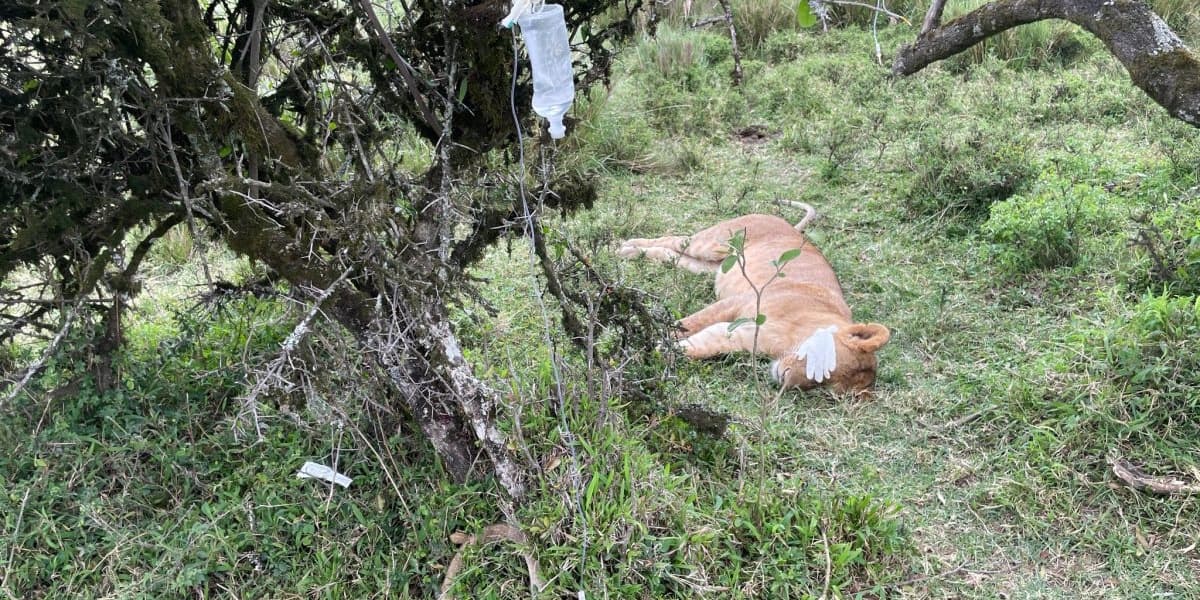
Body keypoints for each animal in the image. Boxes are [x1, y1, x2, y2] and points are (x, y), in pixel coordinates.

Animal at [618, 203, 890, 396]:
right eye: (822, 369)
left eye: (820, 388)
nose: (784, 379)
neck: (793, 338)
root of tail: (789, 225)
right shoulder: (738, 302)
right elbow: (688, 324)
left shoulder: (741, 334)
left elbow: (698, 346)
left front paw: (657, 351)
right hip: (712, 243)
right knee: (673, 239)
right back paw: (623, 247)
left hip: (708, 267)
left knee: (670, 254)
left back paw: (632, 252)